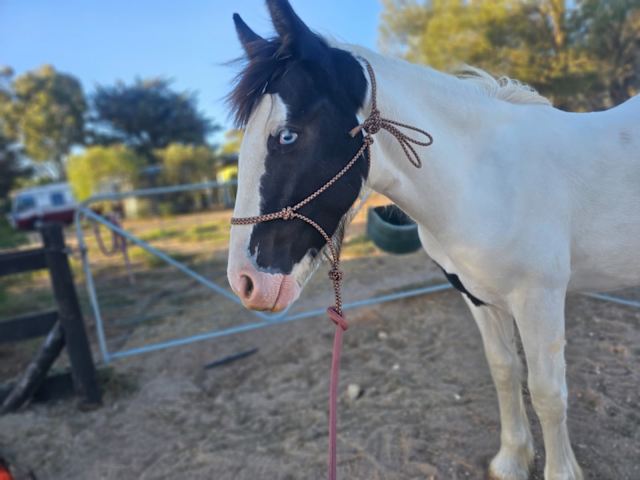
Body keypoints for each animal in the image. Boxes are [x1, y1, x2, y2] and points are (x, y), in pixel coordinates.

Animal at [225, 1, 640, 479]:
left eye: (288, 135)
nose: (245, 282)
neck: (484, 179)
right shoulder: (478, 297)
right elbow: (505, 371)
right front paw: (511, 460)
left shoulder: (540, 300)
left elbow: (548, 393)